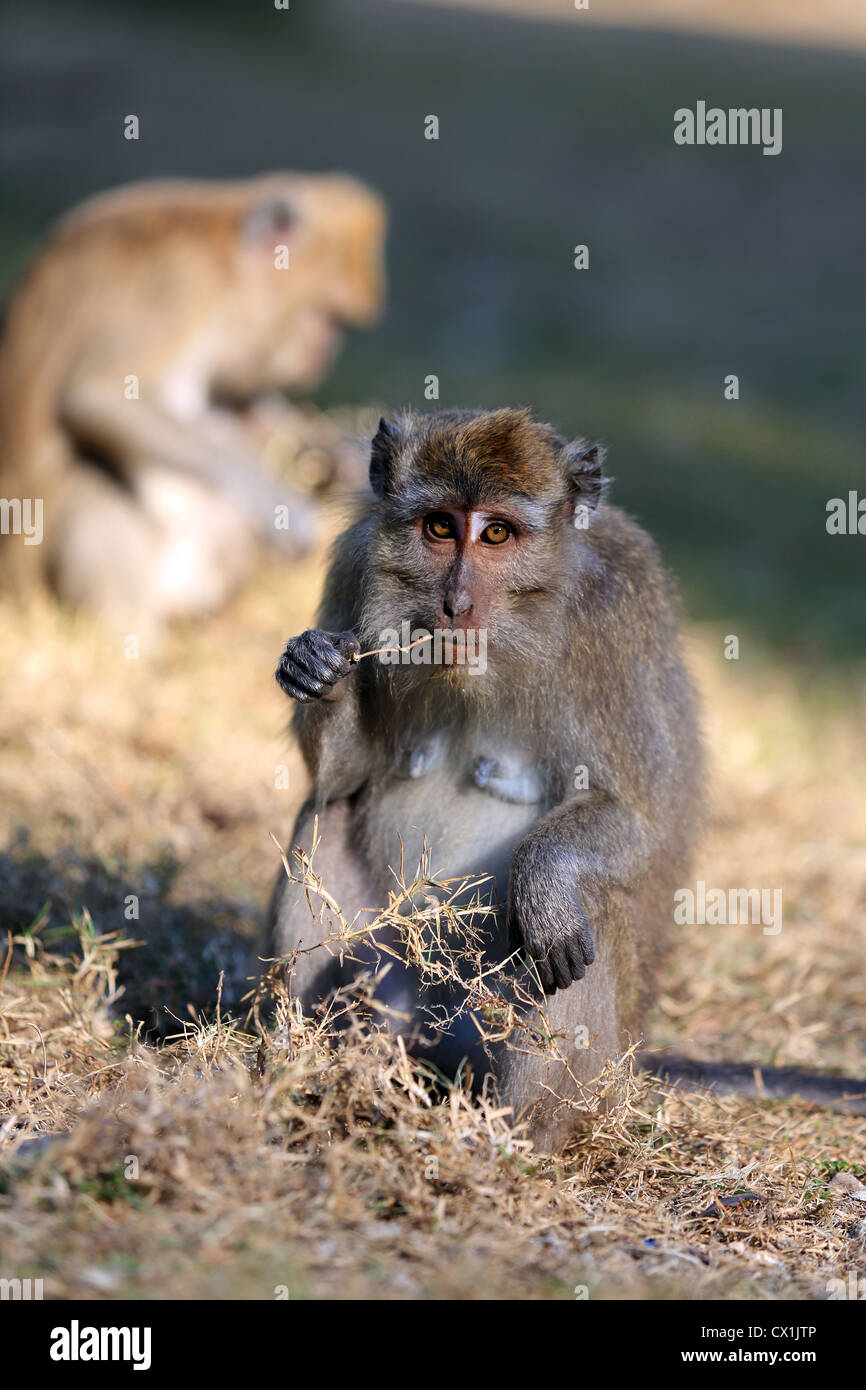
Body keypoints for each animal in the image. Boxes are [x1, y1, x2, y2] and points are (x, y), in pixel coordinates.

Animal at [0, 173, 386, 631]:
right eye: (327, 317)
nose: (324, 352)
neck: (226, 264)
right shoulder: (177, 291)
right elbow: (99, 397)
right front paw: (273, 500)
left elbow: (242, 400)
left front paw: (333, 453)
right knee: (97, 474)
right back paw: (130, 627)